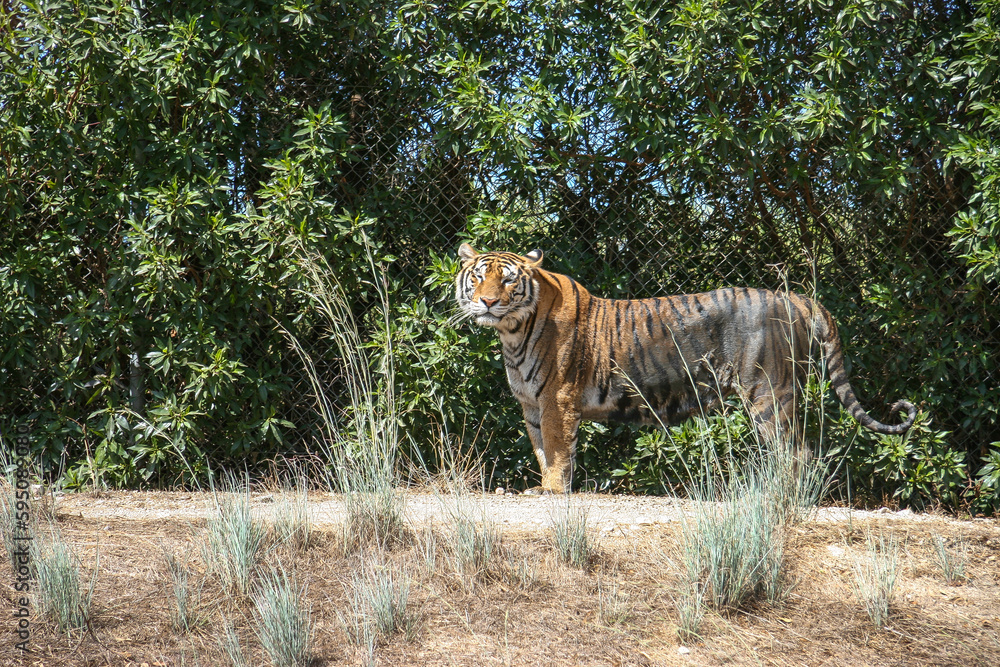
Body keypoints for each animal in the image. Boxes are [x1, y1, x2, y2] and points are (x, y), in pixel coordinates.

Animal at [455, 243, 917, 494]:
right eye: (477, 278)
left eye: (508, 280)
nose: (488, 302)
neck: (512, 333)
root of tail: (795, 297)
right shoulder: (532, 406)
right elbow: (540, 450)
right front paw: (544, 485)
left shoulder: (557, 400)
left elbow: (556, 450)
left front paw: (551, 491)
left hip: (770, 393)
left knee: (796, 452)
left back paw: (778, 496)